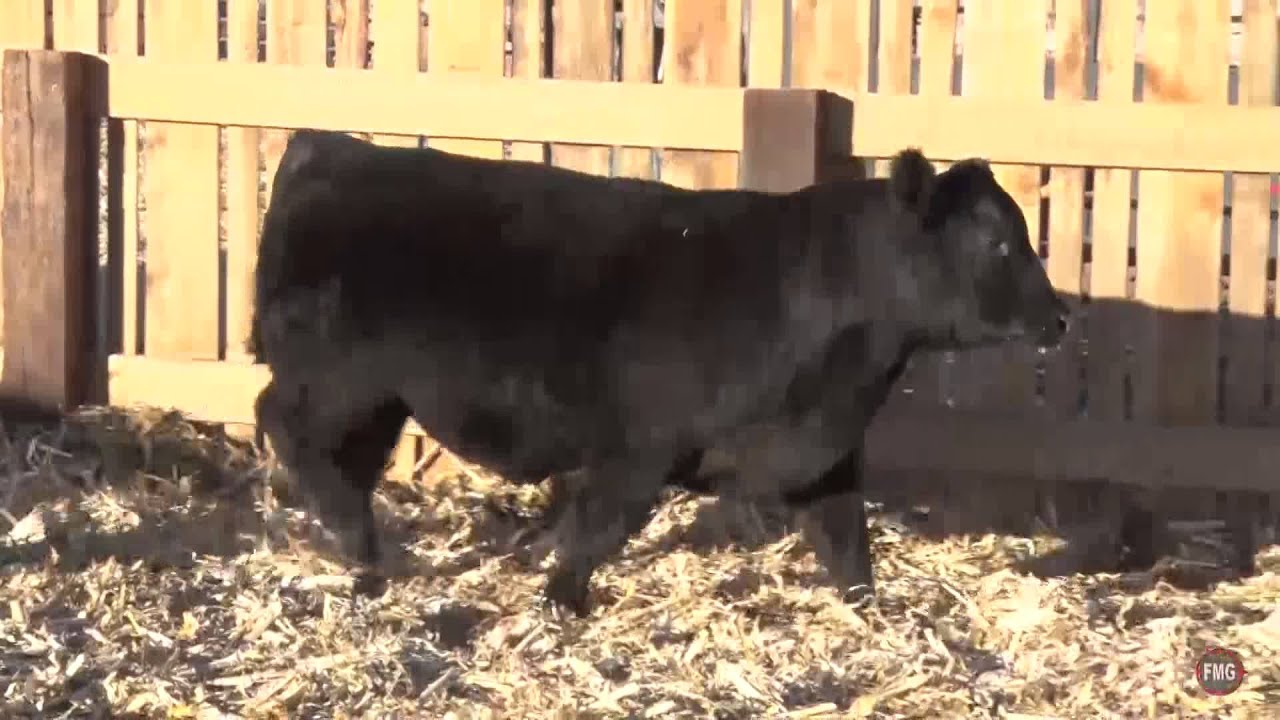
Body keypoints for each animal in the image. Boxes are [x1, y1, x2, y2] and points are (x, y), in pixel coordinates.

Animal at [250, 129, 1070, 617]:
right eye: (997, 242)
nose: (1061, 317)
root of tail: (330, 147)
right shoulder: (638, 447)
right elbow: (598, 527)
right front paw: (562, 600)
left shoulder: (825, 456)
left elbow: (848, 543)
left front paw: (874, 612)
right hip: (338, 380)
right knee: (280, 422)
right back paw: (356, 538)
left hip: (380, 399)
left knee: (343, 461)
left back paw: (363, 555)